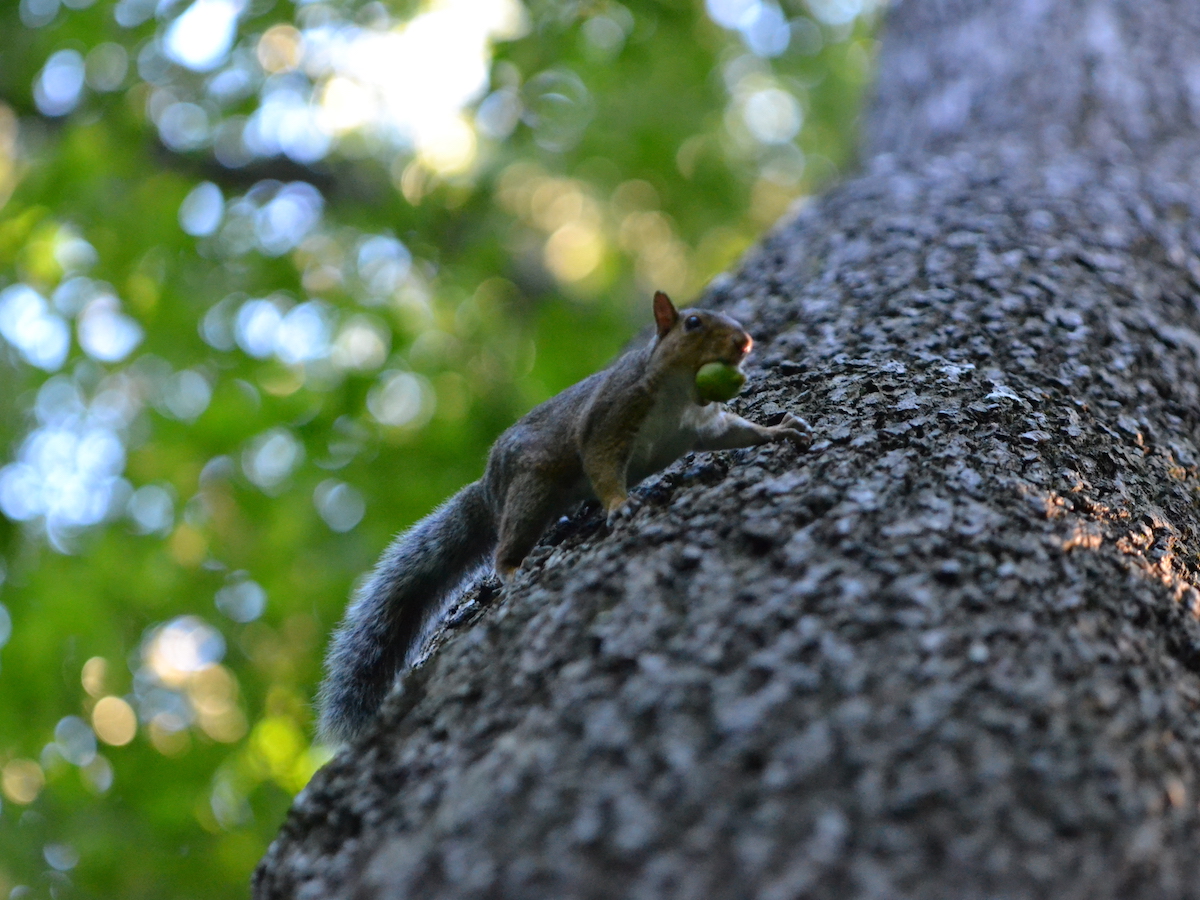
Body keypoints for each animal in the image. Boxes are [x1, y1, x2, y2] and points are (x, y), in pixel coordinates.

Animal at [317, 291, 812, 743]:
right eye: (693, 323)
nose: (744, 342)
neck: (678, 392)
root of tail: (490, 489)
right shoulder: (609, 418)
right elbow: (602, 465)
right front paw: (619, 503)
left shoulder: (702, 425)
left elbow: (737, 433)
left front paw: (780, 430)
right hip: (532, 491)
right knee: (506, 545)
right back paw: (515, 567)